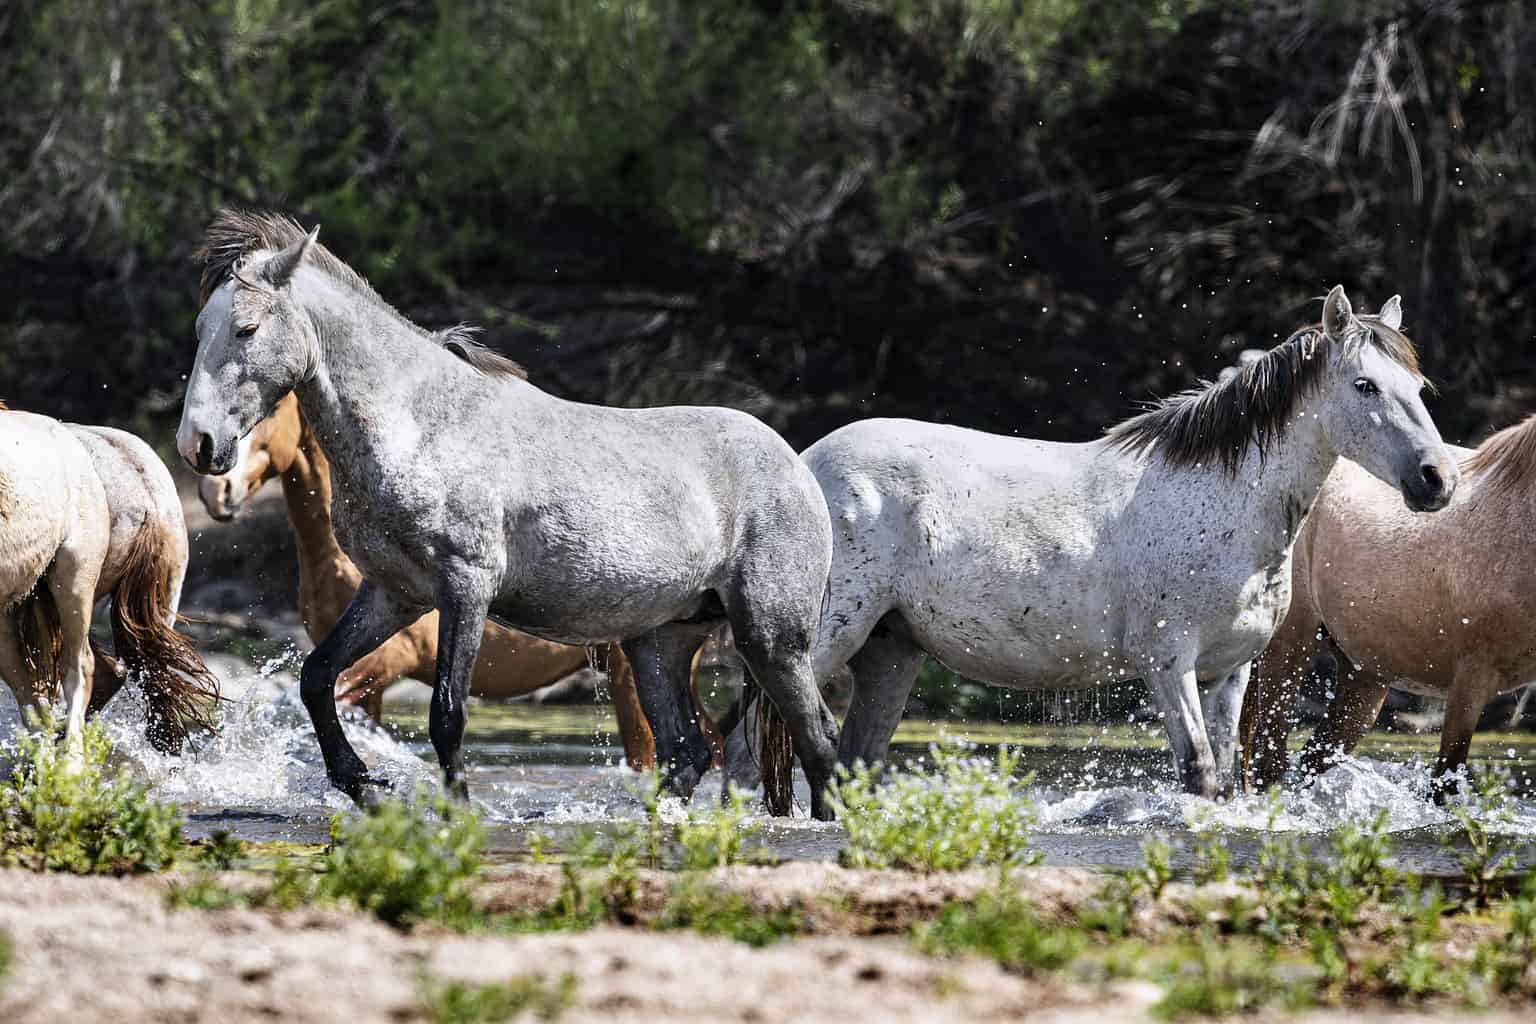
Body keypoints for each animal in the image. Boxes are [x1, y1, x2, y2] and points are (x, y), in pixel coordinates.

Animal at [759, 288, 1454, 798]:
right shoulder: (1168, 663)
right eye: (1364, 385)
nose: (1436, 479)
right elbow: (1199, 772)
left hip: (891, 652)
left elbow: (1225, 776)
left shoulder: (1229, 672)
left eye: (1418, 390)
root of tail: (805, 464)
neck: (1221, 501)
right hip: (823, 640)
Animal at [1239, 367, 1536, 796]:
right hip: (1289, 645)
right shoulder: (1471, 679)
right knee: (1269, 760)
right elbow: (1444, 785)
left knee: (1312, 757)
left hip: (1365, 677)